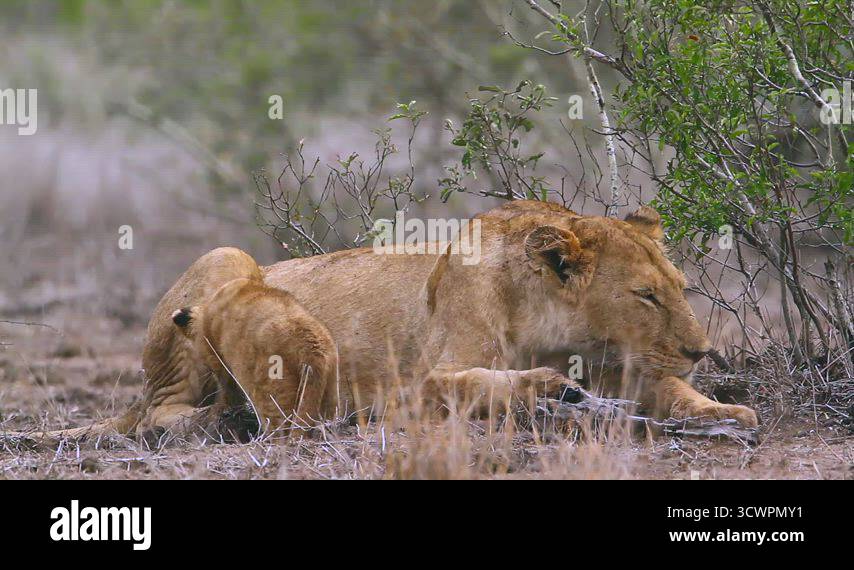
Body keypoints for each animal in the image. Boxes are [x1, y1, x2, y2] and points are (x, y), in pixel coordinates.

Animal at [5, 201, 757, 443]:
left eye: (678, 289)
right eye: (645, 296)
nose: (701, 351)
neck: (561, 331)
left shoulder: (622, 366)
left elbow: (671, 394)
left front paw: (723, 410)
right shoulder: (416, 384)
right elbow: (486, 382)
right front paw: (550, 389)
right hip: (232, 266)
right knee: (164, 411)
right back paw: (212, 421)